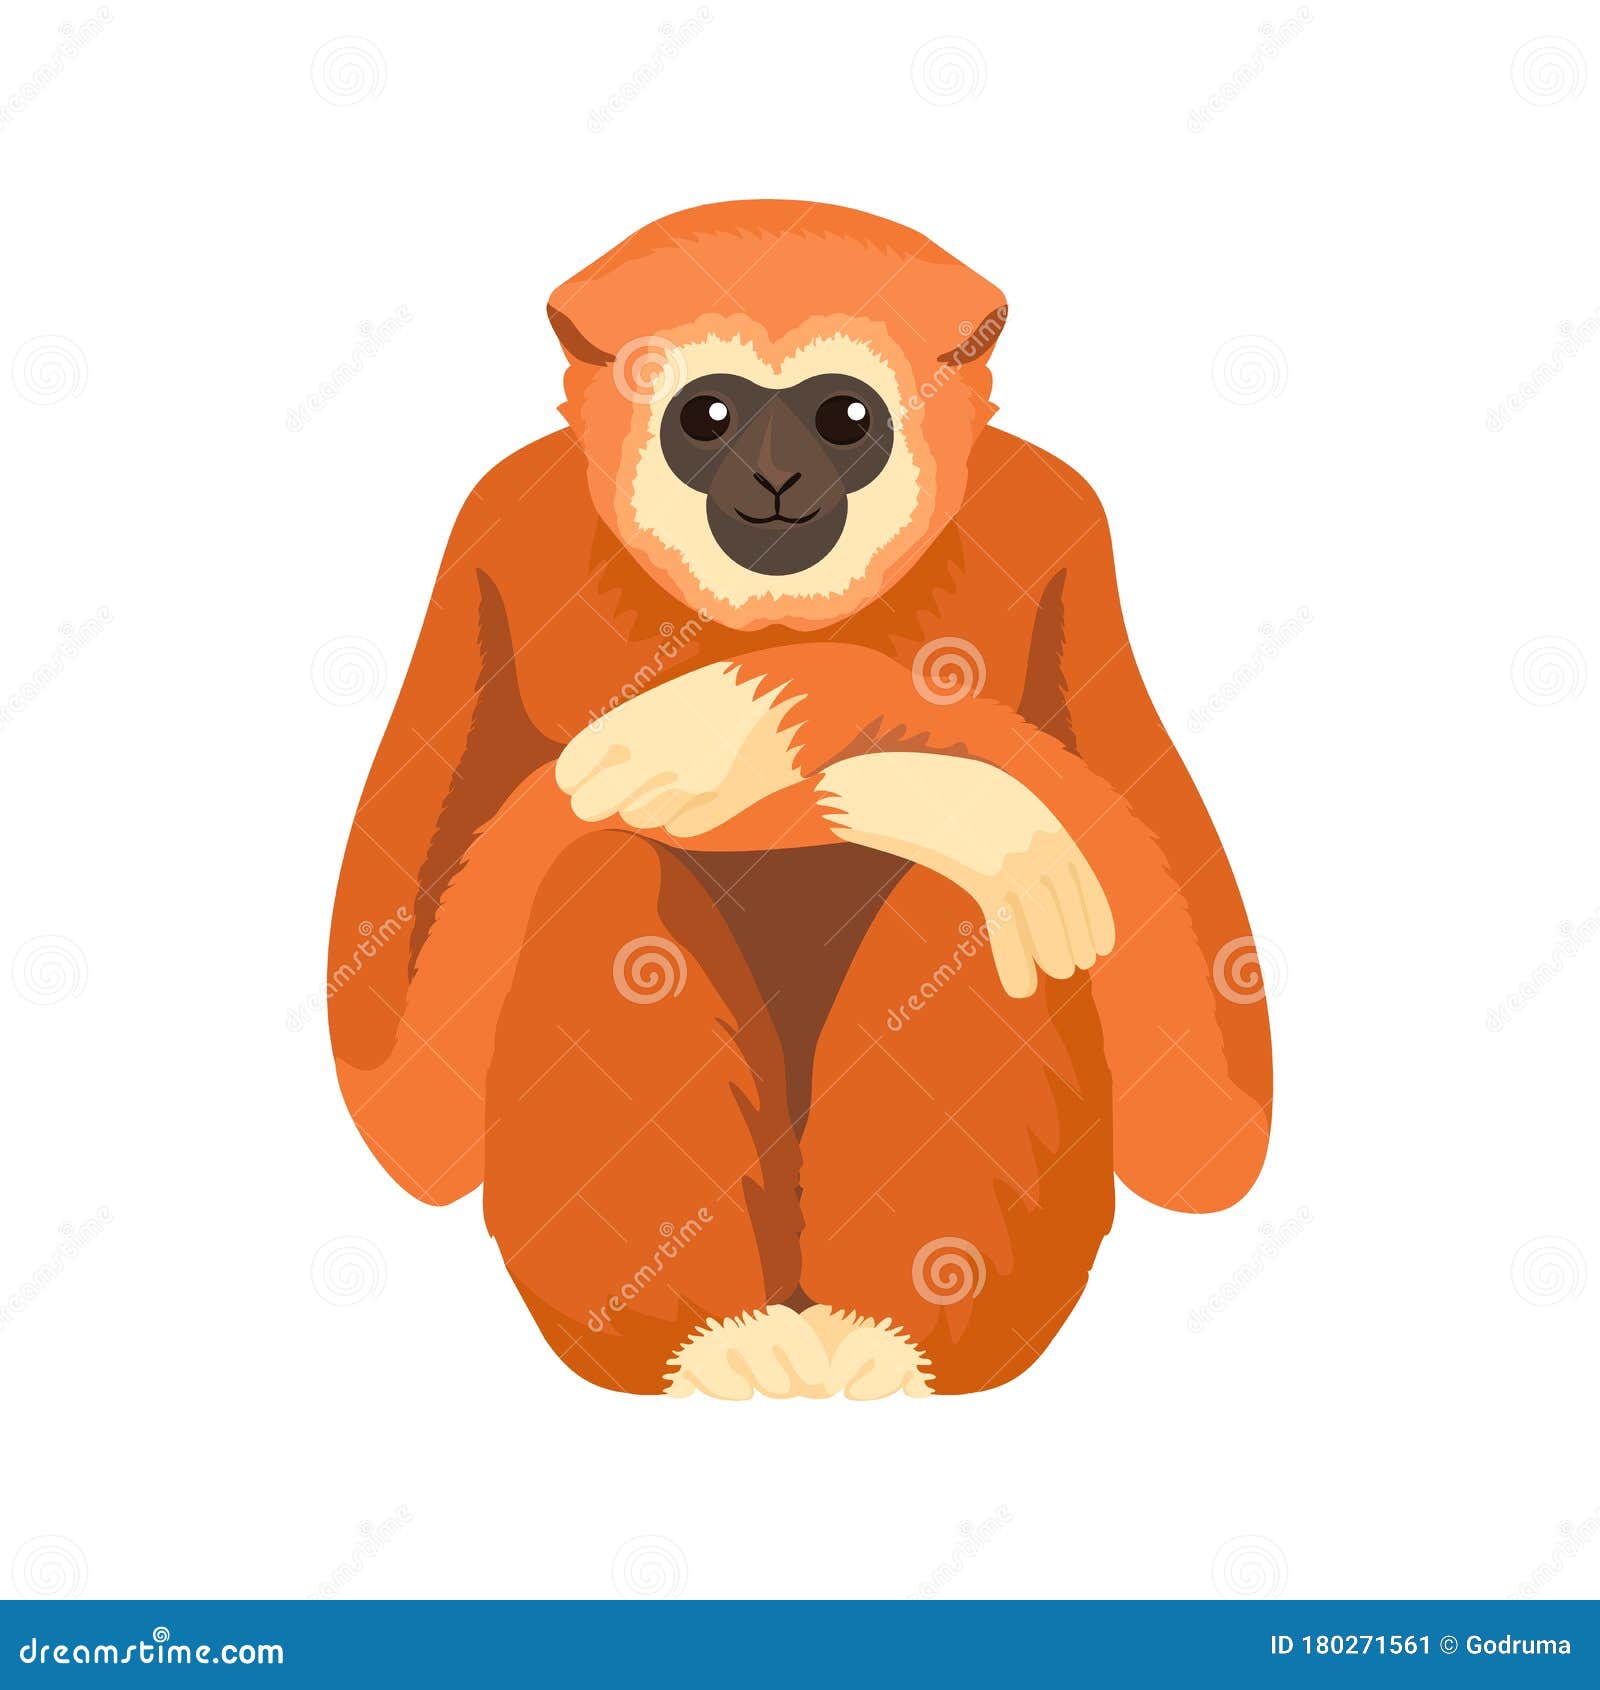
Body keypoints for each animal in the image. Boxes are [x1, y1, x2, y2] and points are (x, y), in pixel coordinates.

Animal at [327, 201, 1273, 1399]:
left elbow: (1214, 1121)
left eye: (843, 416)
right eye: (709, 415)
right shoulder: (484, 539)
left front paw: (771, 731)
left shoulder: (1070, 530)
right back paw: (713, 1337)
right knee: (600, 866)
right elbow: (402, 1101)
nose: (775, 475)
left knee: (985, 896)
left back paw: (888, 1334)